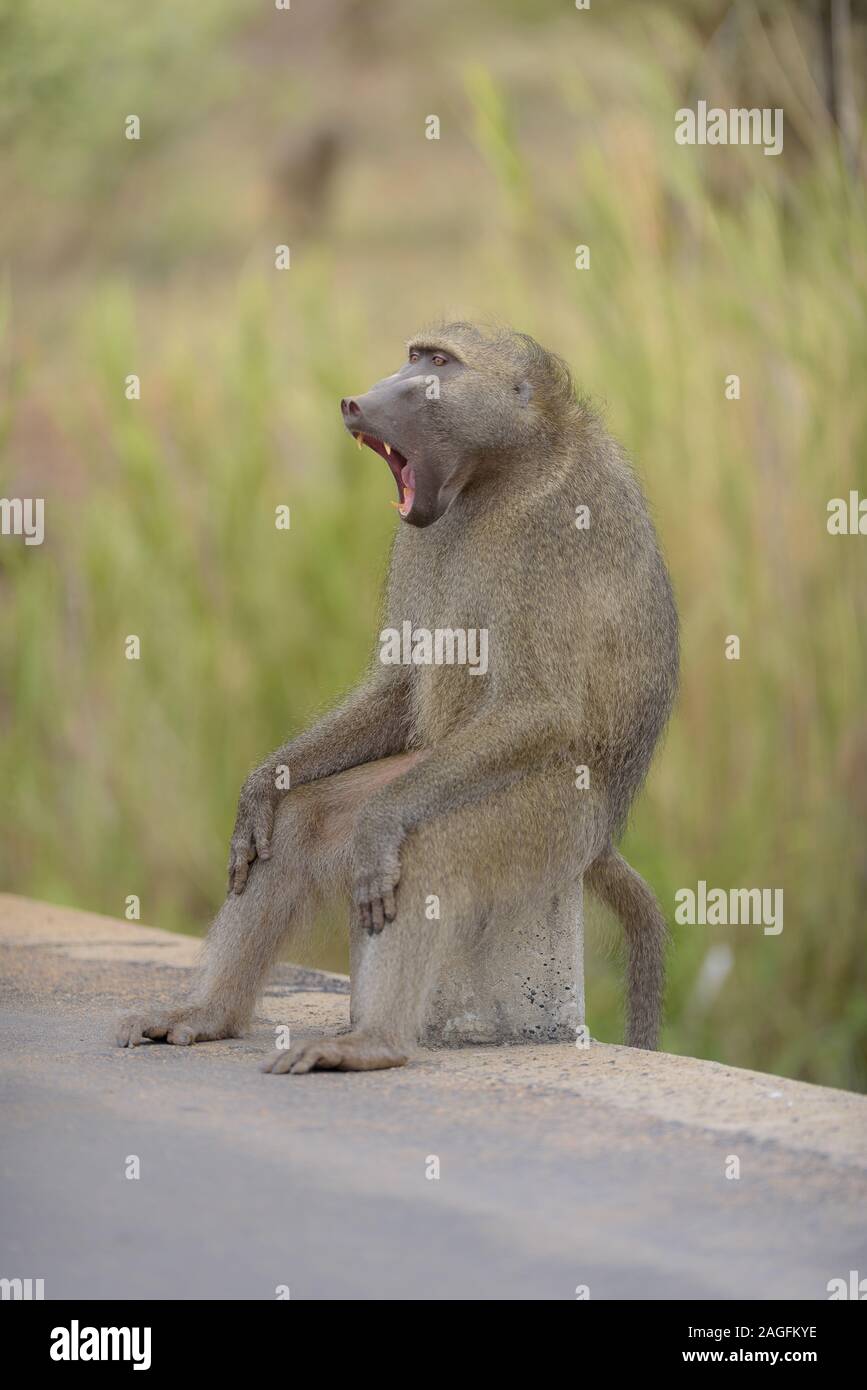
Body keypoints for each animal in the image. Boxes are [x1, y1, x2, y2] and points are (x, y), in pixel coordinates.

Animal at [117, 322, 679, 1073]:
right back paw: (207, 1015)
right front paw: (261, 786)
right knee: (304, 822)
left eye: (437, 363)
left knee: (430, 842)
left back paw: (370, 1044)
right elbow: (400, 685)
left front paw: (381, 827)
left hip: (553, 820)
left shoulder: (557, 529)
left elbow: (538, 706)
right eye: (415, 356)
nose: (357, 401)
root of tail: (604, 832)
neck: (506, 468)